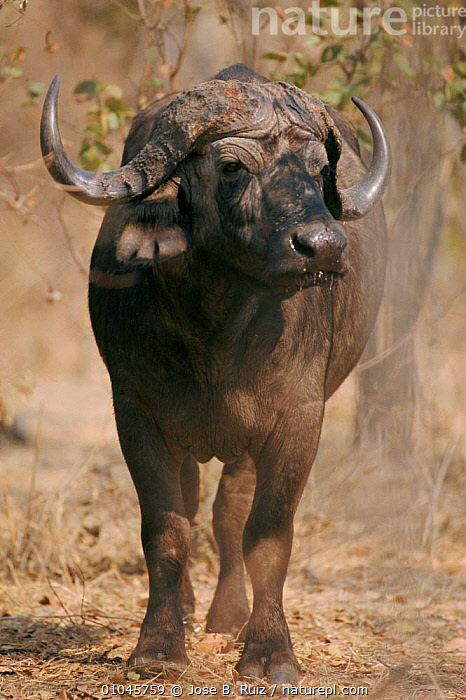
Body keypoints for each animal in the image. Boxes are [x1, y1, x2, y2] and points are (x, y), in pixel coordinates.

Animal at [40, 63, 391, 684]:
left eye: (320, 169)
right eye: (232, 166)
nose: (323, 246)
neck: (215, 335)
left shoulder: (297, 418)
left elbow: (266, 534)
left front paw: (269, 652)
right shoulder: (136, 415)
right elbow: (166, 530)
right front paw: (158, 647)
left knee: (229, 513)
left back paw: (229, 616)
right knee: (195, 500)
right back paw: (185, 609)